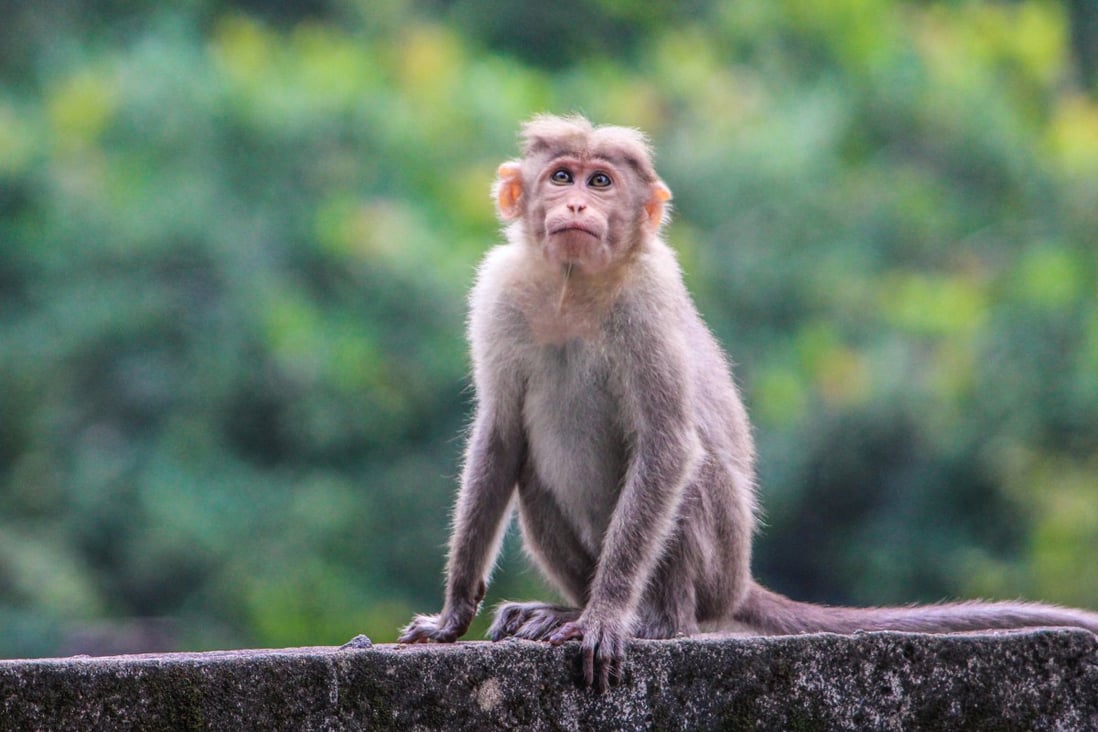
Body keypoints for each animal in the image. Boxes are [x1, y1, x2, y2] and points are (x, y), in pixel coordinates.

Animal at [397, 114, 1098, 691]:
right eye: (561, 176)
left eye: (601, 181)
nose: (574, 202)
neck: (574, 289)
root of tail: (740, 583)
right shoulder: (498, 296)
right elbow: (501, 437)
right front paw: (453, 614)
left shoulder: (648, 302)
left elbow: (669, 444)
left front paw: (605, 618)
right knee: (533, 474)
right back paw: (563, 608)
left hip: (718, 567)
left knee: (692, 474)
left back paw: (653, 621)